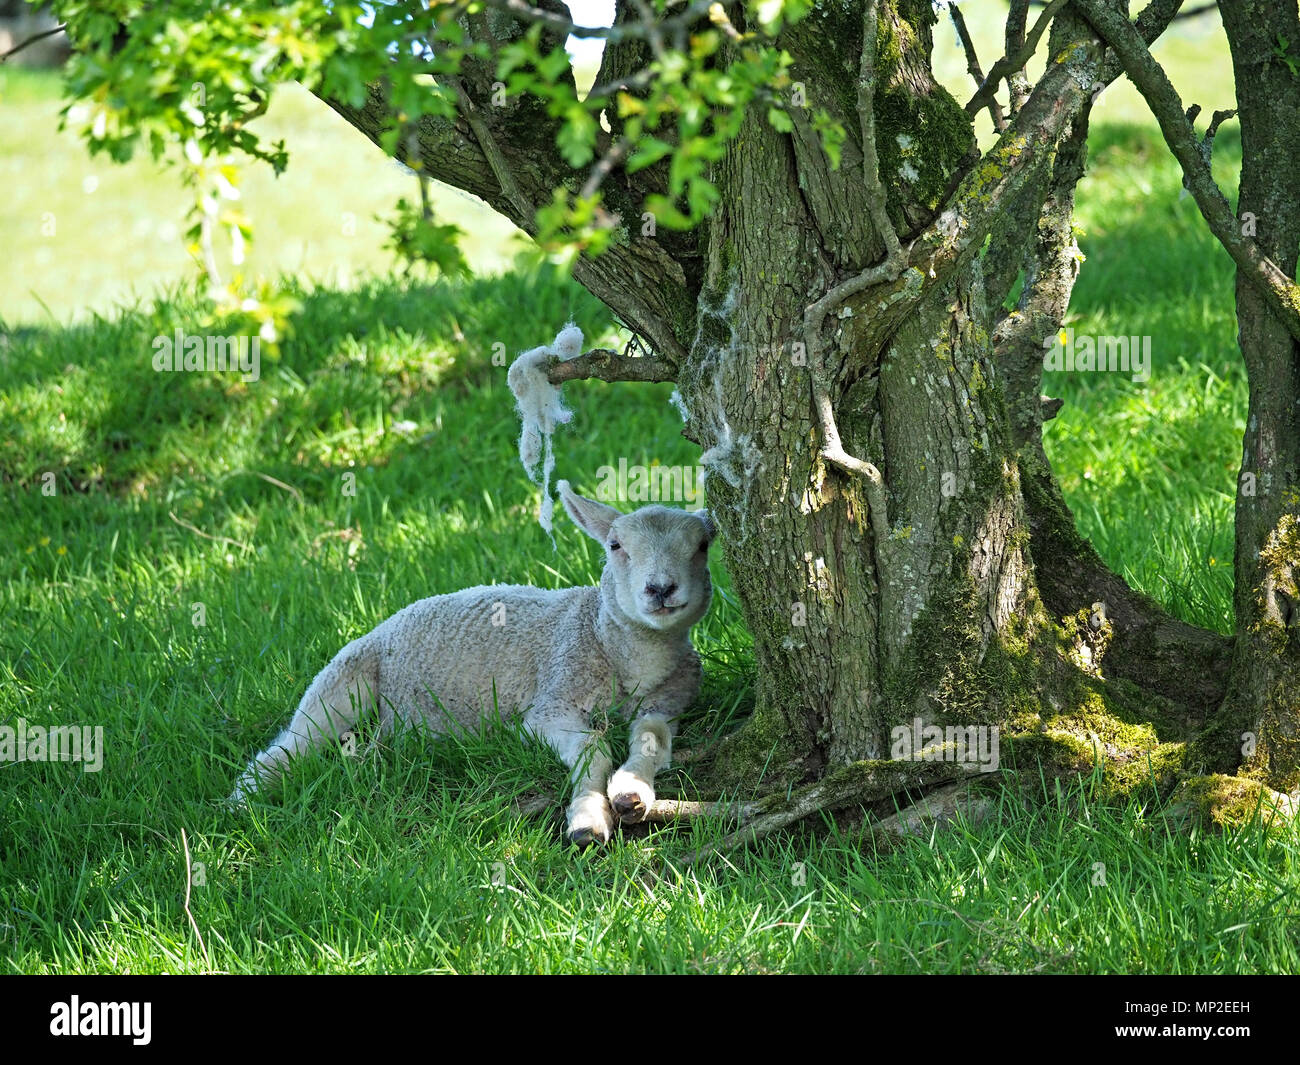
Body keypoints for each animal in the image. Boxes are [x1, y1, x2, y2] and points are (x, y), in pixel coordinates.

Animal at [229, 480, 716, 845]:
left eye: (702, 546)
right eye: (615, 545)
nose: (660, 588)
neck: (611, 643)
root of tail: (386, 622)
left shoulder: (670, 700)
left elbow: (652, 740)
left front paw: (632, 792)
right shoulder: (550, 704)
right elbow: (593, 749)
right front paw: (587, 820)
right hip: (345, 674)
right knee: (295, 740)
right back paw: (245, 795)